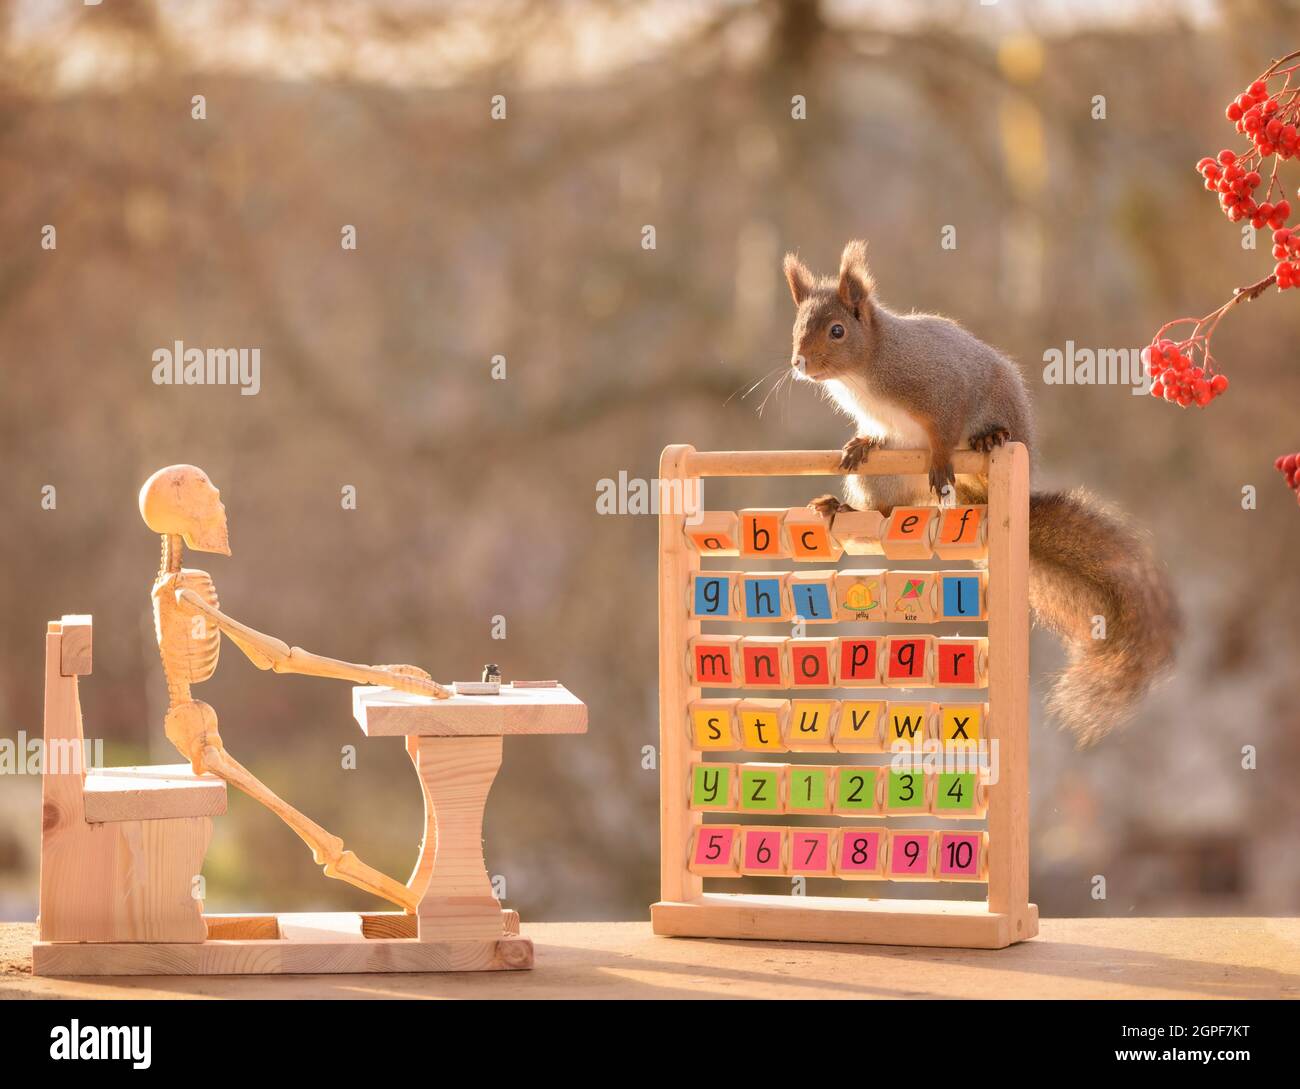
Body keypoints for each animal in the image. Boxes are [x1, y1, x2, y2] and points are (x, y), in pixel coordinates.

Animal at [782, 240, 1180, 746]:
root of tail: (982, 501)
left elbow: (945, 428)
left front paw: (939, 458)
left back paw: (989, 440)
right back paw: (843, 505)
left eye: (837, 330)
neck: (867, 368)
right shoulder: (879, 421)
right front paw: (860, 443)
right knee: (887, 512)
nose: (799, 363)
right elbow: (875, 434)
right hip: (887, 479)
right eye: (797, 326)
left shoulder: (941, 390)